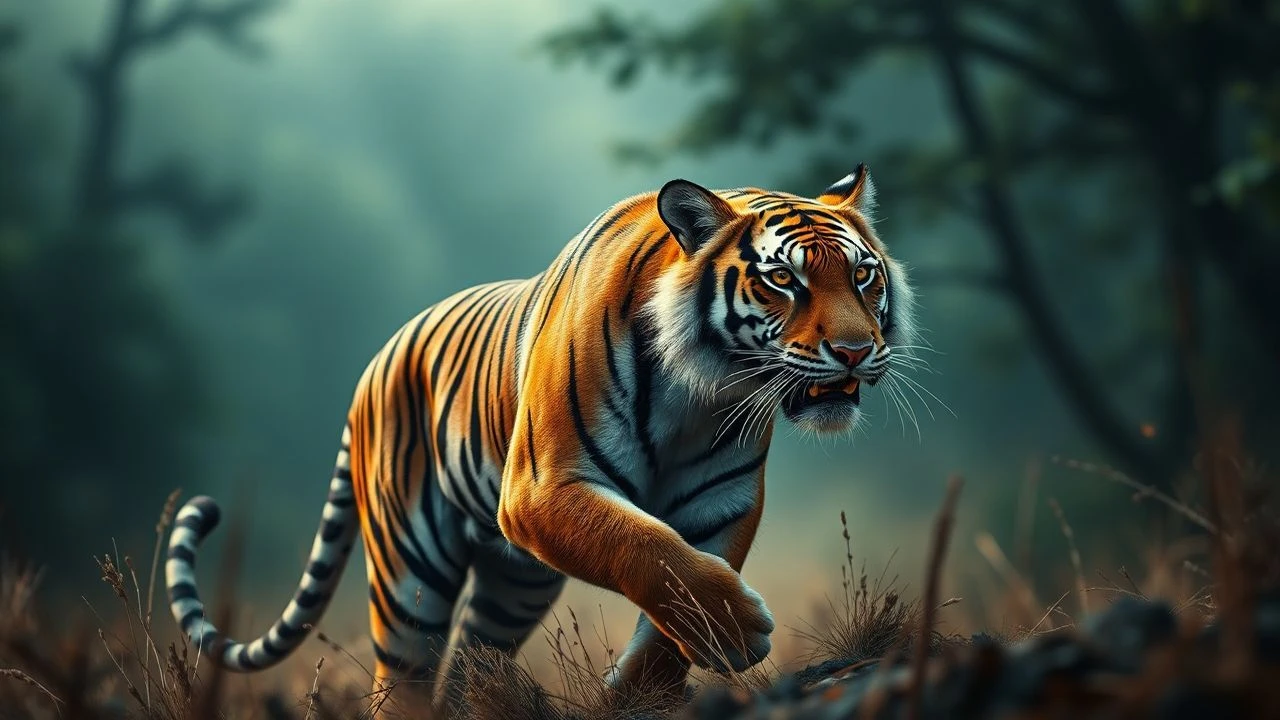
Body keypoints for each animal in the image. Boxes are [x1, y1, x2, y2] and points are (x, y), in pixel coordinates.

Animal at [165, 165, 917, 708]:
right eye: (783, 279)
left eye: (862, 274)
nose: (856, 351)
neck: (701, 391)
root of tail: (374, 364)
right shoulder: (542, 486)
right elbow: (649, 551)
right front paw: (738, 634)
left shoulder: (720, 503)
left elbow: (679, 594)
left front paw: (638, 692)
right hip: (411, 572)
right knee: (403, 676)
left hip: (512, 586)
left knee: (469, 663)